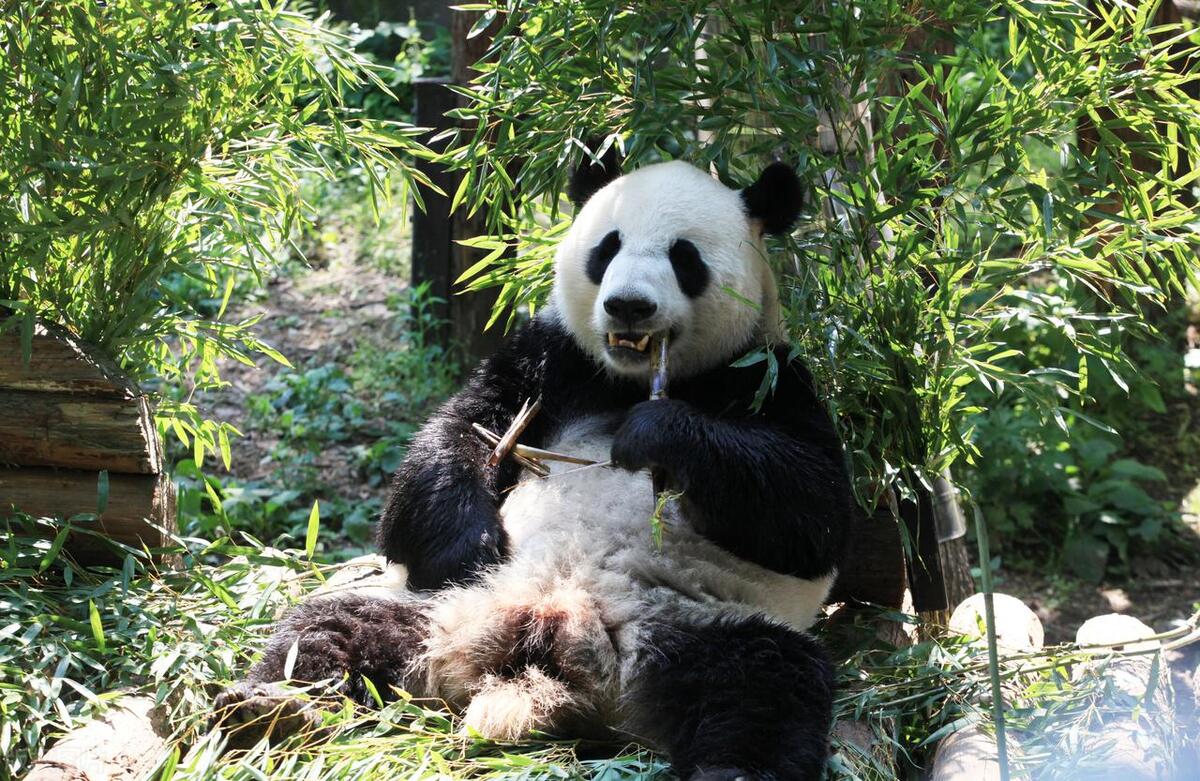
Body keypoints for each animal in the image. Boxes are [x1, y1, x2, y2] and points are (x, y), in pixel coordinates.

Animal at [214, 151, 854, 781]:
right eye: (608, 247)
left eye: (684, 257)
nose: (628, 305)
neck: (628, 380)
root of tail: (543, 647)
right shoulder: (552, 359)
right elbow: (456, 435)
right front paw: (467, 542)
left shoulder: (766, 375)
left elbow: (811, 512)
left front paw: (656, 433)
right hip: (431, 607)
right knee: (326, 628)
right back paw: (268, 712)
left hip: (694, 626)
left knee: (764, 688)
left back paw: (733, 769)